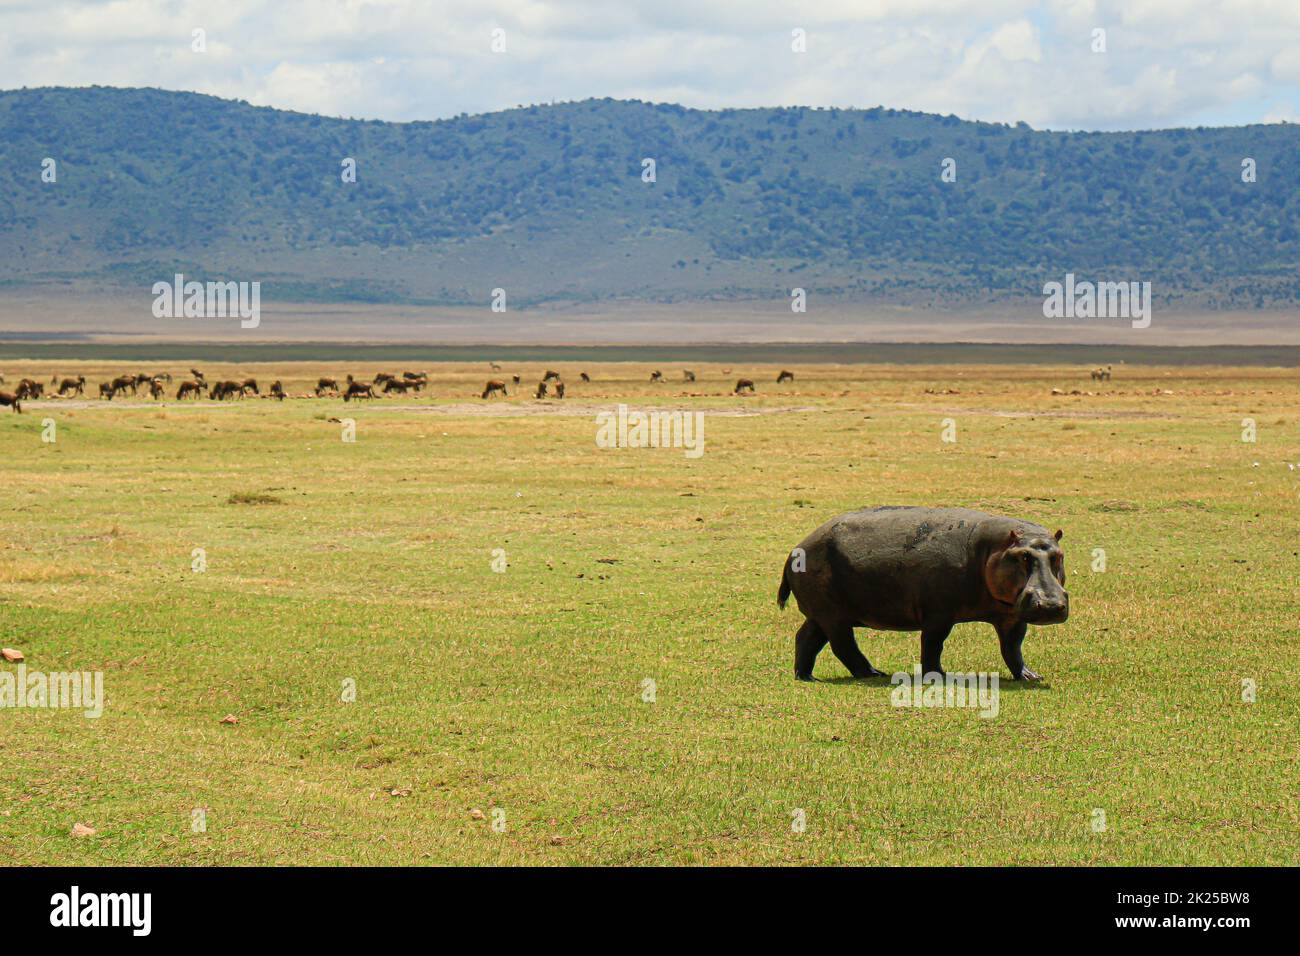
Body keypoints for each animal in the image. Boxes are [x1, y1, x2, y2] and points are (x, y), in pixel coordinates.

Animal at [777, 506, 1067, 682]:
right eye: (1023, 556)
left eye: (1058, 555)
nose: (1051, 604)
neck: (993, 547)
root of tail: (796, 547)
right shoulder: (938, 615)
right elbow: (933, 644)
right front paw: (939, 676)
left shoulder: (1010, 616)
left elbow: (1012, 647)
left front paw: (1031, 676)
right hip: (833, 615)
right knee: (842, 644)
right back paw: (873, 673)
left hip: (823, 614)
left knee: (806, 638)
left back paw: (807, 676)